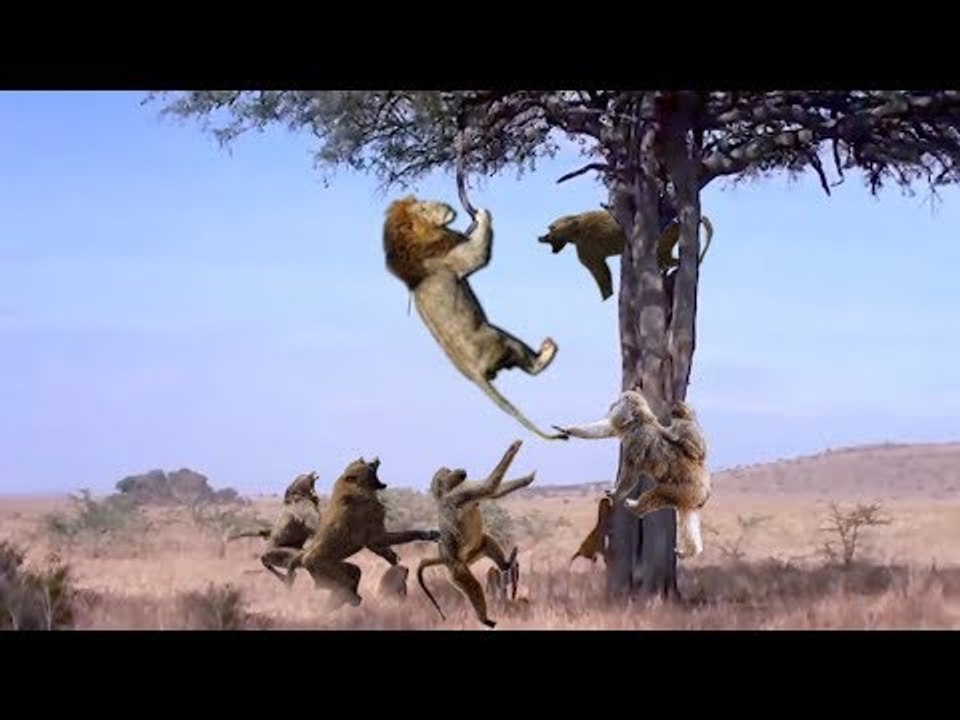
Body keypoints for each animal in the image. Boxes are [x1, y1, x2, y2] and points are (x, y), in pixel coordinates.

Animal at [287, 457, 441, 611]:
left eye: (360, 460)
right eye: (364, 463)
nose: (376, 459)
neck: (357, 486)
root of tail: (304, 556)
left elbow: (375, 546)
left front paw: (393, 558)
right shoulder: (371, 510)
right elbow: (378, 539)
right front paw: (426, 534)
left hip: (328, 566)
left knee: (354, 572)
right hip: (321, 566)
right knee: (345, 583)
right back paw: (350, 598)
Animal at [382, 196, 566, 441]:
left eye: (421, 201)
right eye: (422, 207)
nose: (447, 206)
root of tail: (474, 373)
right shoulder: (456, 259)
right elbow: (478, 254)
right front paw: (482, 214)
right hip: (501, 339)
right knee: (532, 366)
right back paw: (547, 349)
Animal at [416, 439, 533, 628]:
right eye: (449, 471)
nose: (461, 470)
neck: (444, 494)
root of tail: (446, 559)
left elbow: (494, 492)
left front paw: (527, 479)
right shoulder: (458, 496)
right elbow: (489, 487)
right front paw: (514, 448)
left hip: (473, 553)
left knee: (486, 540)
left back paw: (506, 565)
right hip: (457, 569)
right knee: (473, 586)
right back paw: (484, 619)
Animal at [537, 210, 714, 301]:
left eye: (551, 228)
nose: (541, 237)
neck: (576, 227)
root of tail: (676, 220)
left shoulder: (586, 247)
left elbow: (600, 272)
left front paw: (607, 296)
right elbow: (603, 272)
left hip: (662, 235)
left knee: (662, 258)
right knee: (665, 259)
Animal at [554, 390, 711, 559]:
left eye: (620, 402)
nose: (612, 405)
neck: (638, 421)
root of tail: (706, 487)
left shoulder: (637, 440)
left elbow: (630, 472)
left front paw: (616, 494)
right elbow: (604, 429)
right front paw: (566, 429)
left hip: (685, 489)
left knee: (659, 494)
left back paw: (636, 508)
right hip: (692, 496)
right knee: (687, 513)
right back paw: (692, 550)